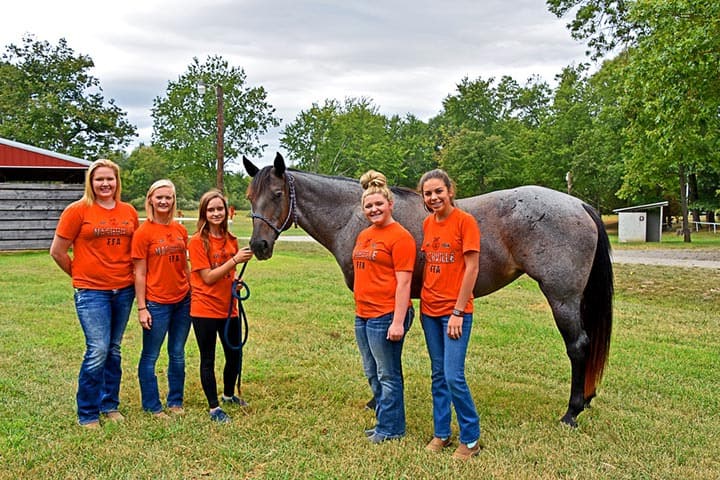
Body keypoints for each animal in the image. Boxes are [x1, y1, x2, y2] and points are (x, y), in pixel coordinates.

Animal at [243, 153, 613, 428]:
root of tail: (579, 205)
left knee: (578, 346)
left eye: (277, 194)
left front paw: (380, 400)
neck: (357, 217)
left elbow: (380, 350)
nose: (259, 245)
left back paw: (571, 412)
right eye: (250, 197)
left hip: (562, 298)